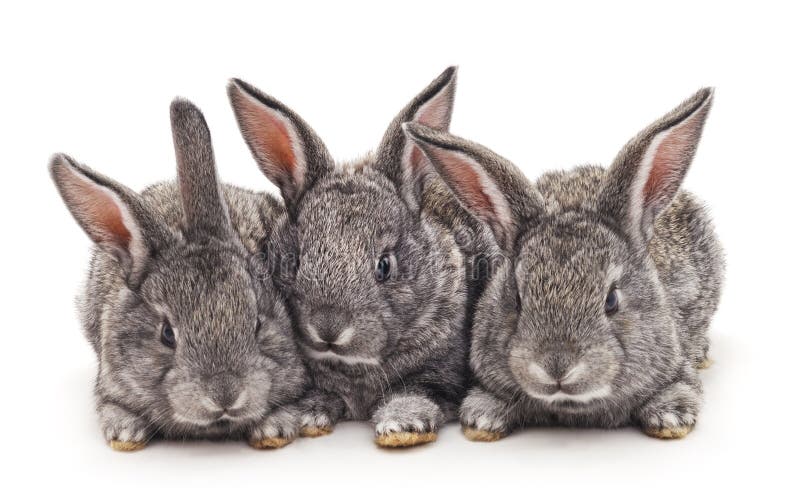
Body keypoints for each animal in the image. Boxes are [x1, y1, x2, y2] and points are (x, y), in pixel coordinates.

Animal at [227, 67, 496, 448]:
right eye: (296, 261)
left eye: (385, 265)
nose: (329, 328)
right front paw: (307, 417)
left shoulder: (440, 373)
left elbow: (416, 391)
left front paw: (402, 426)